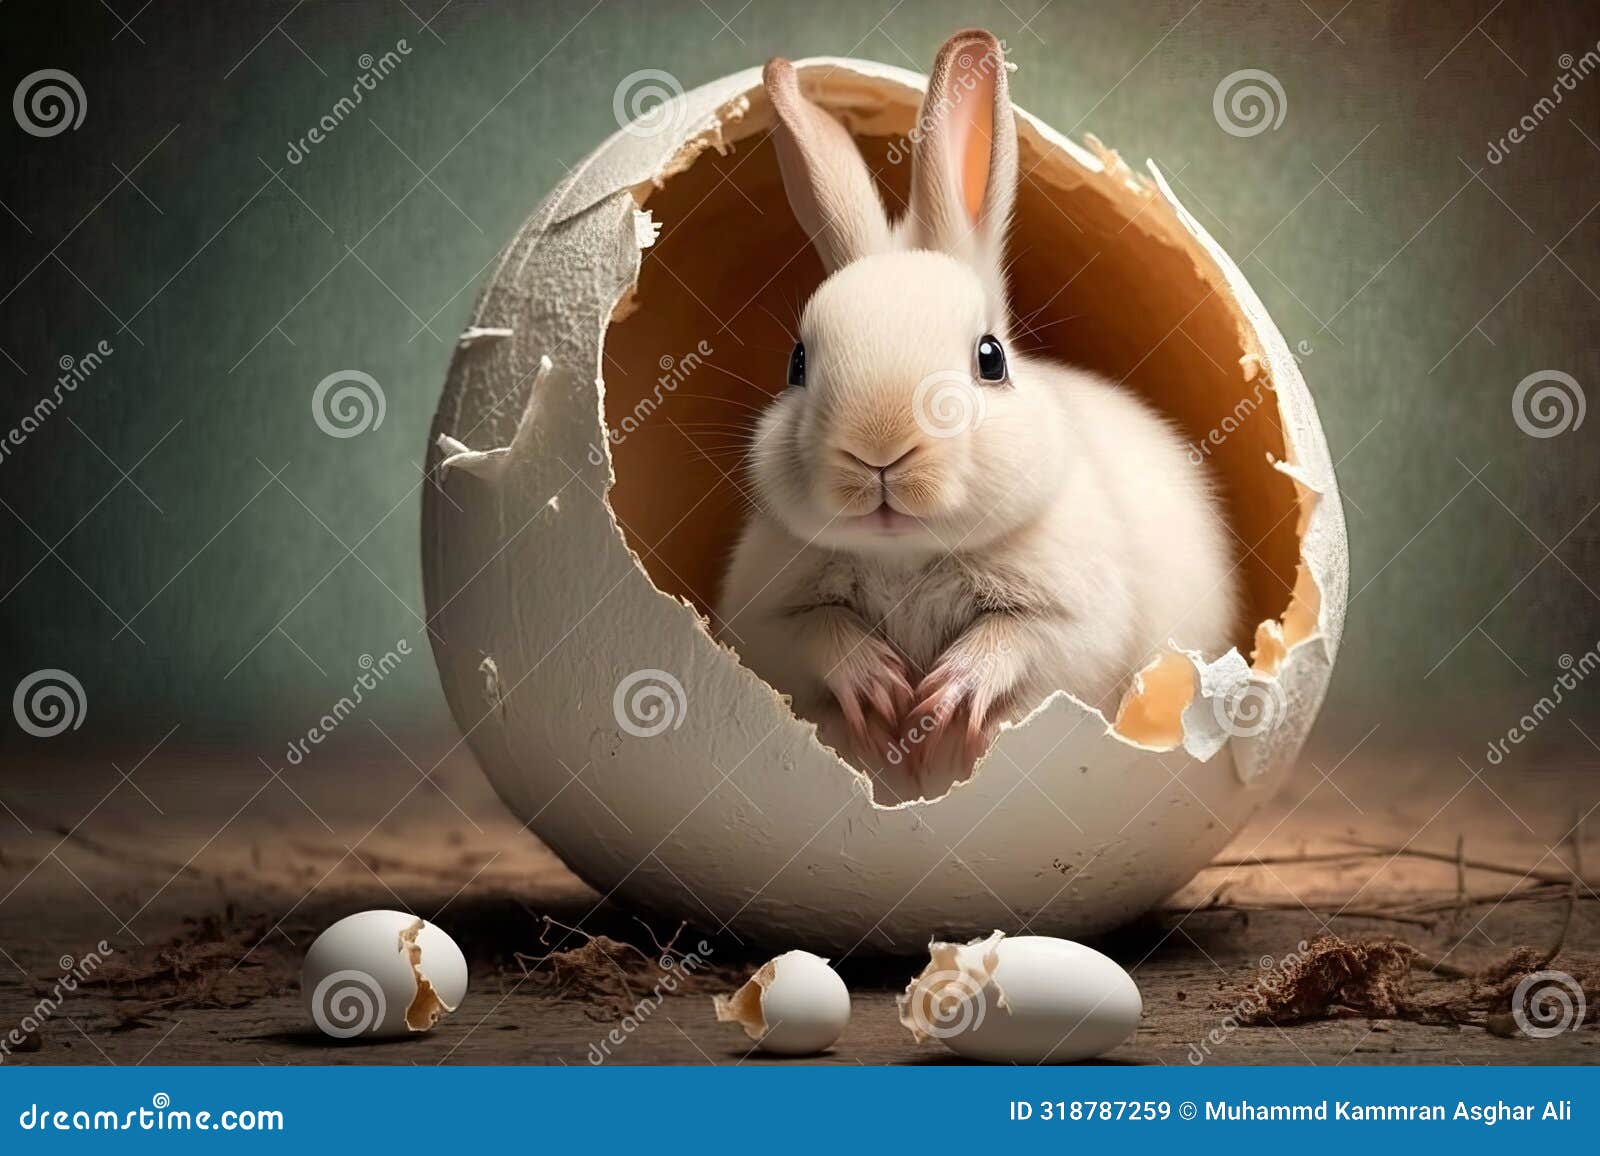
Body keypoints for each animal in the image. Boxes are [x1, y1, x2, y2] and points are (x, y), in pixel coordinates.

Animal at [715, 30, 1239, 801]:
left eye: (990, 359)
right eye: (797, 363)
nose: (879, 452)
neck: (907, 557)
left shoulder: (1078, 619)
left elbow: (1016, 640)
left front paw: (948, 701)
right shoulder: (762, 624)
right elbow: (815, 634)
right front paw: (876, 688)